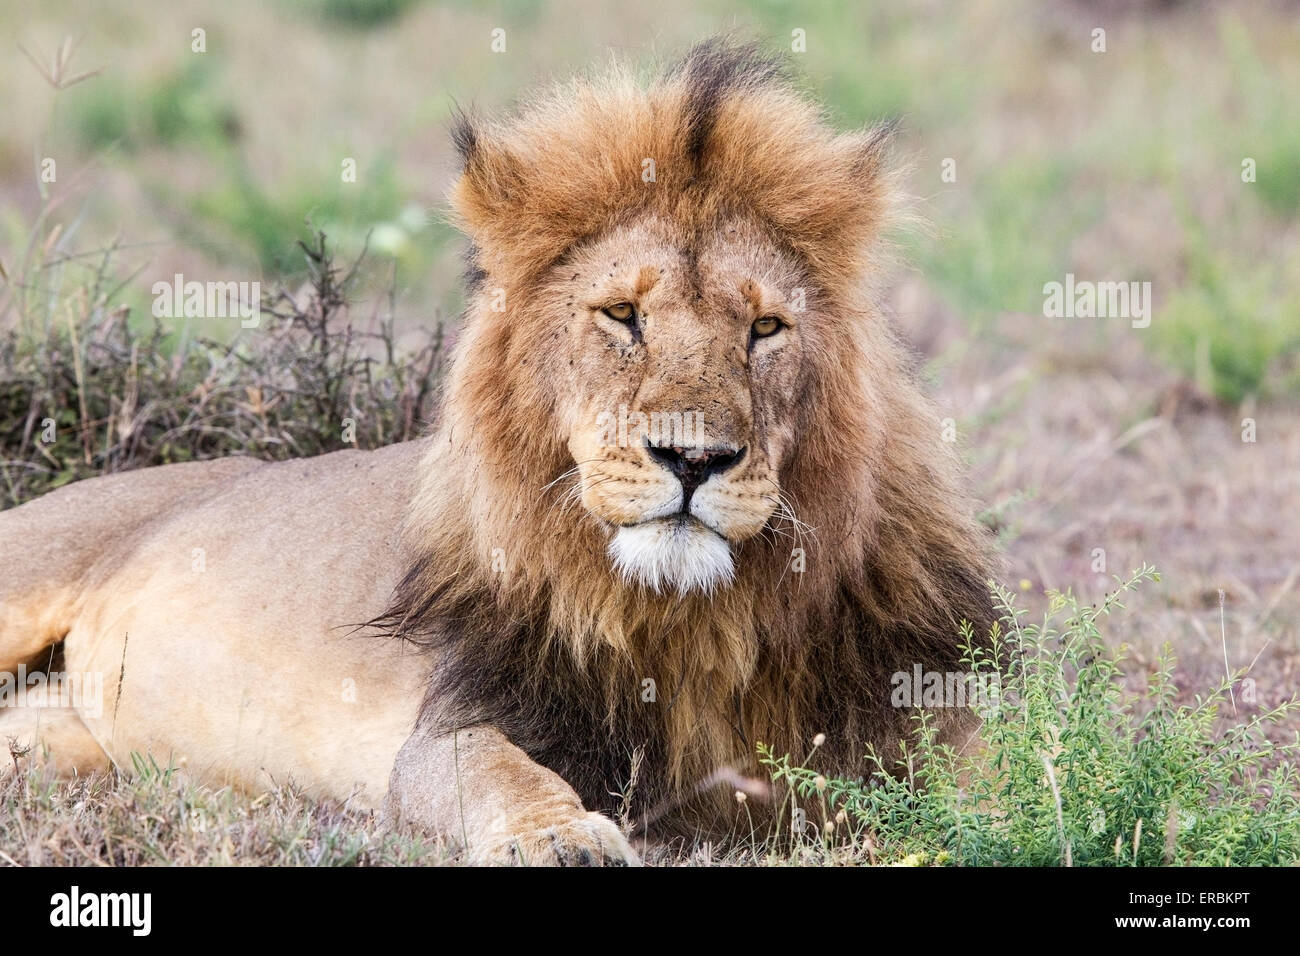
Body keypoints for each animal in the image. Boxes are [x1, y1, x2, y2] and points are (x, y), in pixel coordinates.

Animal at [0, 41, 995, 865]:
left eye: (765, 329)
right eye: (622, 315)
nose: (694, 459)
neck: (692, 623)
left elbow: (989, 791)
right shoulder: (457, 722)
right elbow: (494, 768)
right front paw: (559, 838)